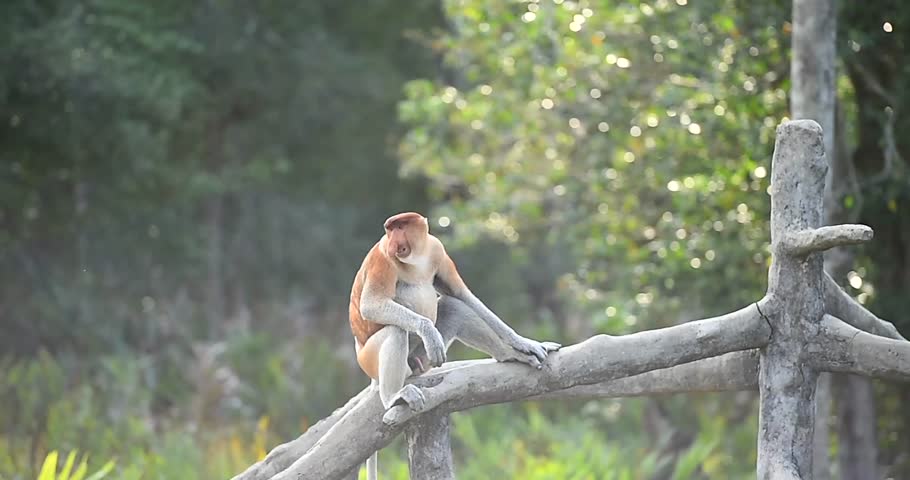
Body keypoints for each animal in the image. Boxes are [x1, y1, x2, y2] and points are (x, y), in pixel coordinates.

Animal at [349, 212, 561, 479]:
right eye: (390, 229)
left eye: (401, 226)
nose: (395, 241)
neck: (415, 257)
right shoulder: (382, 257)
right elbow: (372, 304)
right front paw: (428, 331)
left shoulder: (437, 249)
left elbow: (461, 295)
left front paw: (522, 344)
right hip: (369, 358)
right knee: (396, 331)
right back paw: (394, 396)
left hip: (420, 360)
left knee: (454, 307)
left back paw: (509, 355)